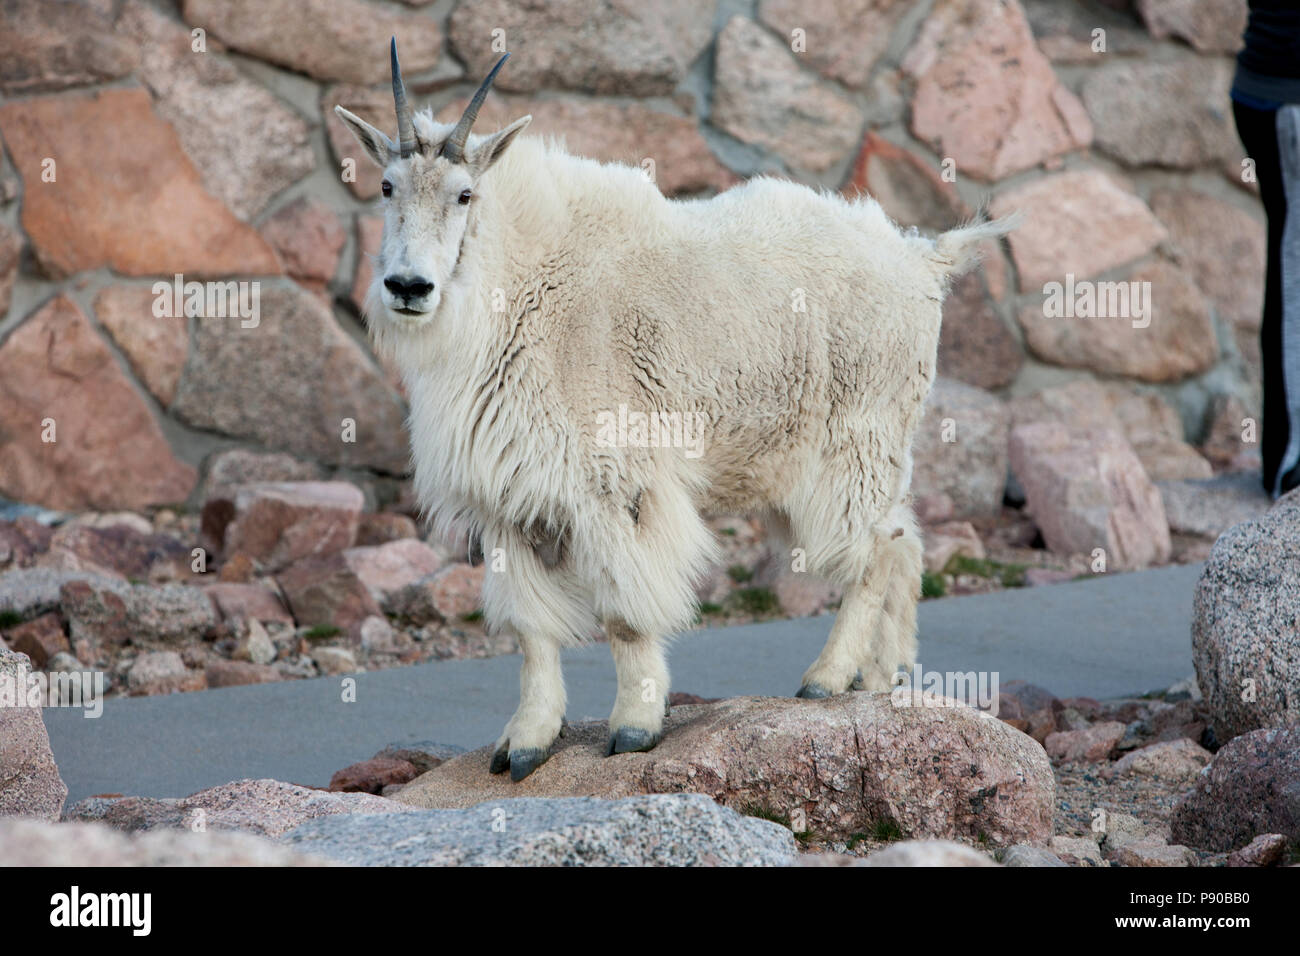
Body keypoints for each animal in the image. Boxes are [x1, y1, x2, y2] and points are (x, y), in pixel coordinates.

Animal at [336, 41, 1015, 780]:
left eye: (464, 194)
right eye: (385, 187)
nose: (408, 287)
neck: (519, 287)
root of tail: (924, 259)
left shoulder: (614, 484)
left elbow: (625, 614)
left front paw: (635, 726)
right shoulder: (509, 497)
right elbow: (531, 629)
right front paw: (526, 743)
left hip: (857, 440)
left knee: (874, 553)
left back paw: (828, 678)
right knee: (905, 540)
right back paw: (882, 679)